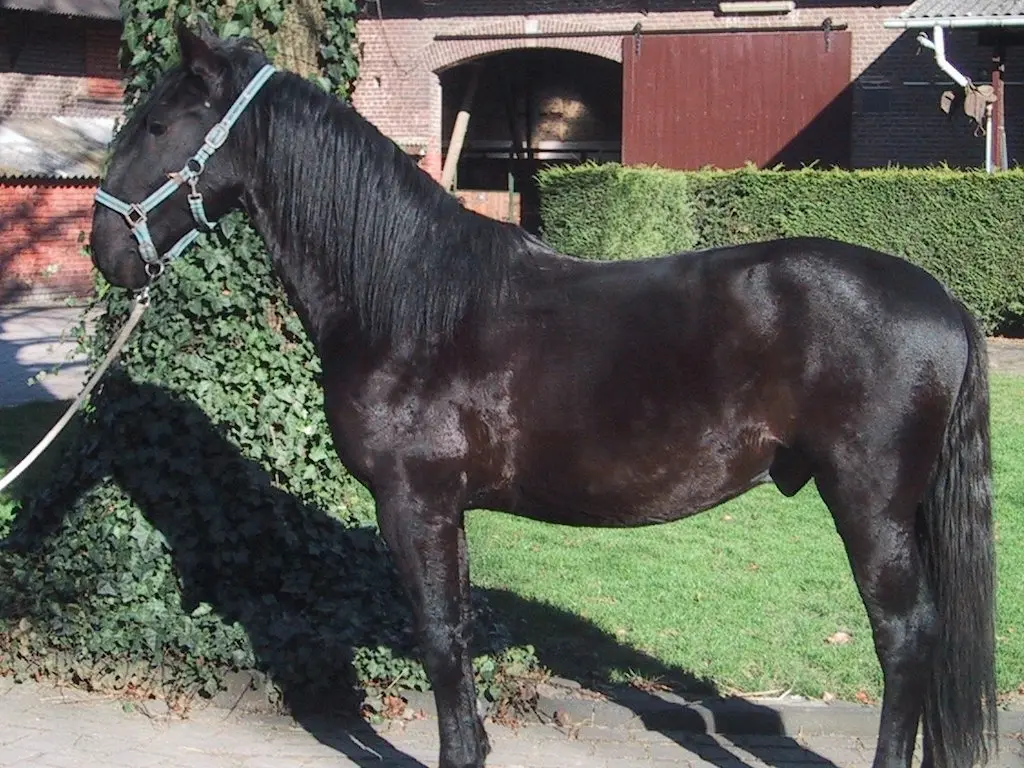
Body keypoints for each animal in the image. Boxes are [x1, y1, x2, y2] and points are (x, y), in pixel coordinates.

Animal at [89, 21, 997, 768]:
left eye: (158, 126)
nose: (103, 249)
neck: (405, 299)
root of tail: (945, 301)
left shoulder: (412, 502)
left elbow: (438, 638)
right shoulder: (445, 509)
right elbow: (454, 632)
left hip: (869, 505)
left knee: (905, 638)